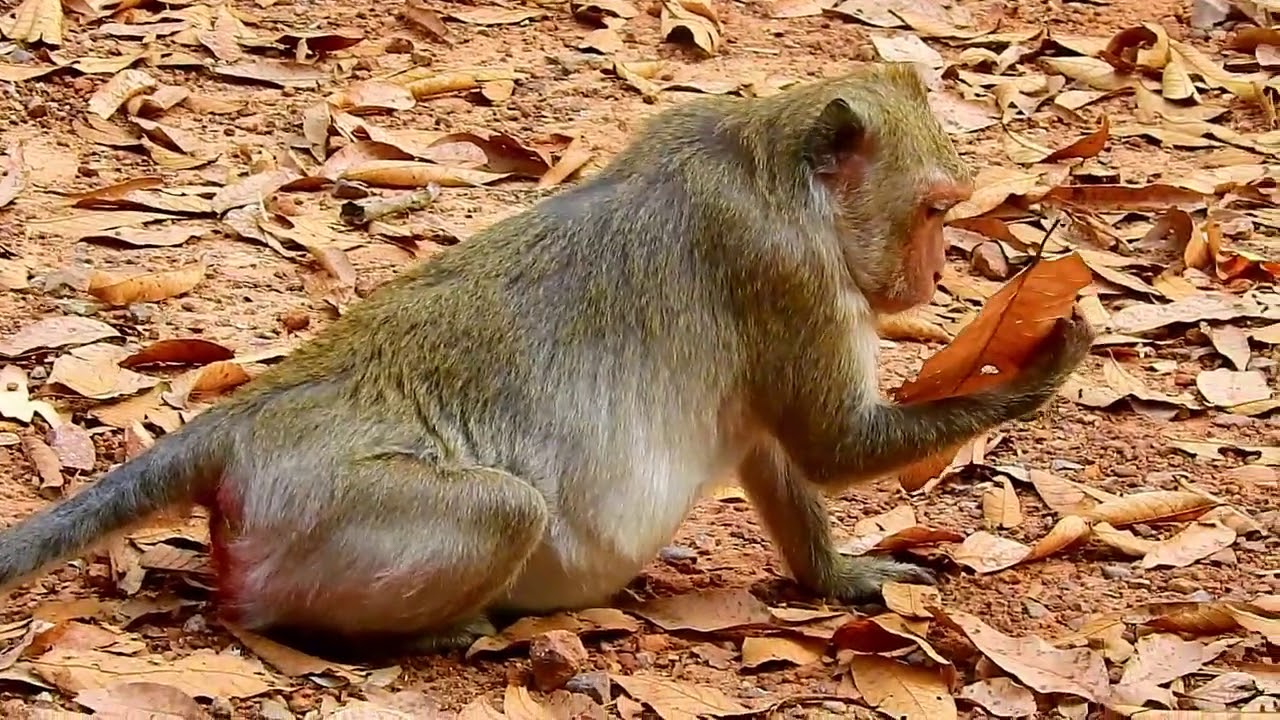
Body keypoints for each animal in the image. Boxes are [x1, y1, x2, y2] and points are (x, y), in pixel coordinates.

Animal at [0, 62, 1094, 655]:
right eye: (936, 212)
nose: (933, 273)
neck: (778, 173)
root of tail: (252, 414)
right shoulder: (785, 272)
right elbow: (830, 446)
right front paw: (1040, 366)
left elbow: (774, 454)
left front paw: (836, 577)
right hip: (320, 515)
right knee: (498, 511)